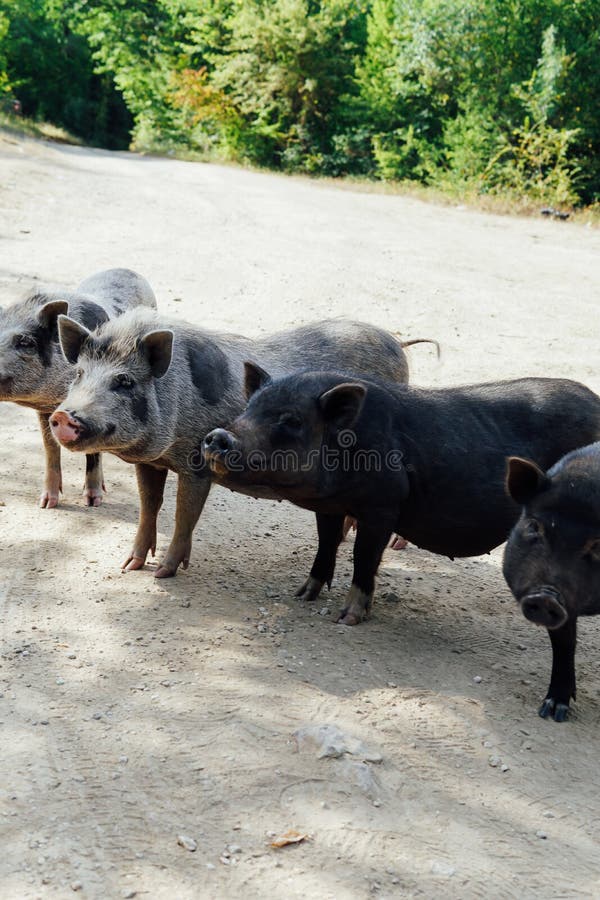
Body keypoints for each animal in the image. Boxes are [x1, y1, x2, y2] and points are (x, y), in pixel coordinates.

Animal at [0, 269, 156, 507]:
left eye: (25, 342)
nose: (44, 503)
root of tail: (127, 270)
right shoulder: (46, 408)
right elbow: (50, 449)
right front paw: (46, 504)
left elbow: (93, 452)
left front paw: (92, 502)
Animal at [50, 309, 434, 576]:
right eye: (79, 374)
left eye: (125, 381)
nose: (64, 416)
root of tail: (397, 344)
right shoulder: (152, 461)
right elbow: (150, 506)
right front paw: (128, 565)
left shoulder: (197, 463)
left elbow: (183, 514)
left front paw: (163, 574)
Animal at [203, 370, 600, 628]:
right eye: (249, 407)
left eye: (290, 420)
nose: (218, 437)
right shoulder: (329, 506)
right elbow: (326, 543)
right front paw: (301, 595)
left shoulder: (383, 505)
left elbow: (363, 557)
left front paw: (347, 619)